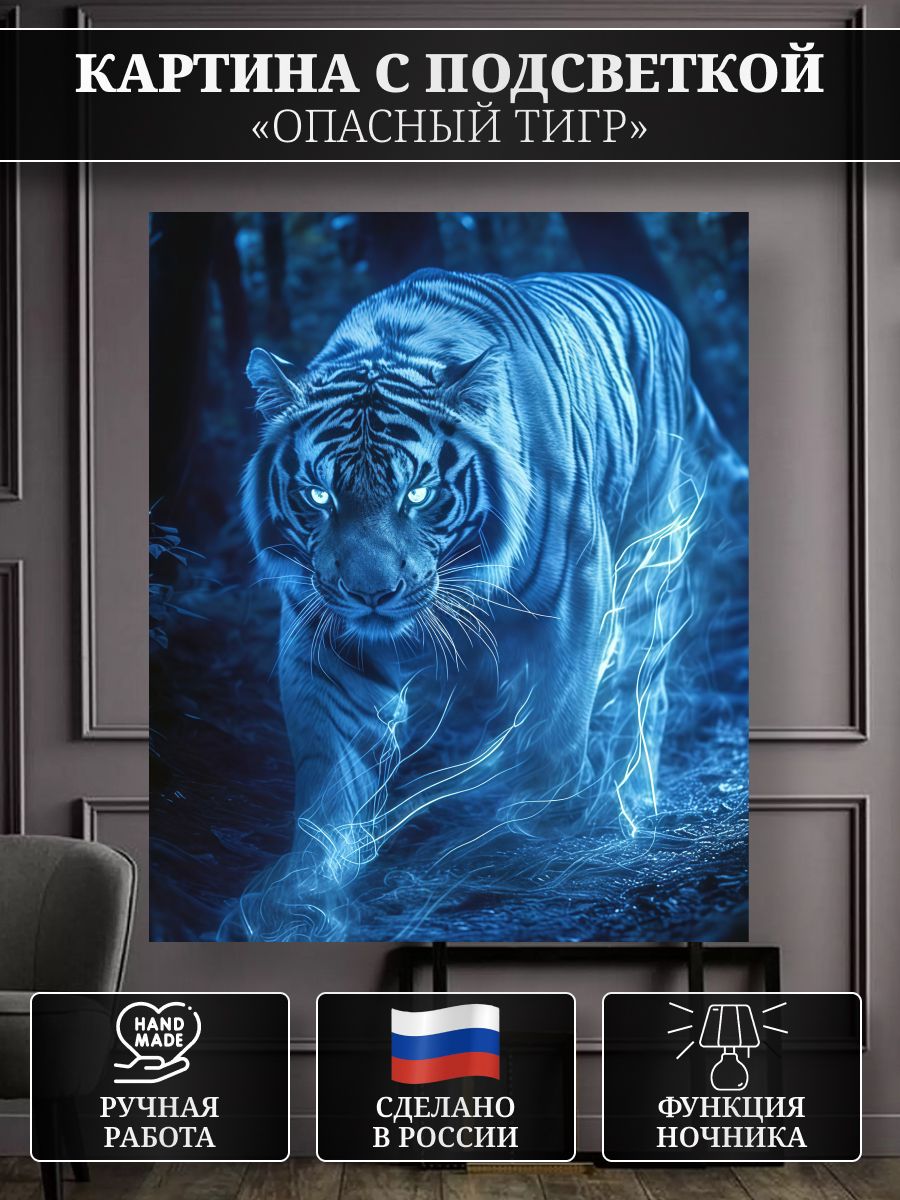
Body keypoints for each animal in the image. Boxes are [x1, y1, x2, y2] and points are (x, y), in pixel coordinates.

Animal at [241, 268, 746, 932]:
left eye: (418, 493)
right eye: (319, 496)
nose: (371, 593)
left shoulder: (577, 593)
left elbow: (555, 733)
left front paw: (522, 843)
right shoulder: (327, 634)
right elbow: (331, 778)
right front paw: (303, 894)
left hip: (651, 560)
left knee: (641, 695)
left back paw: (626, 806)